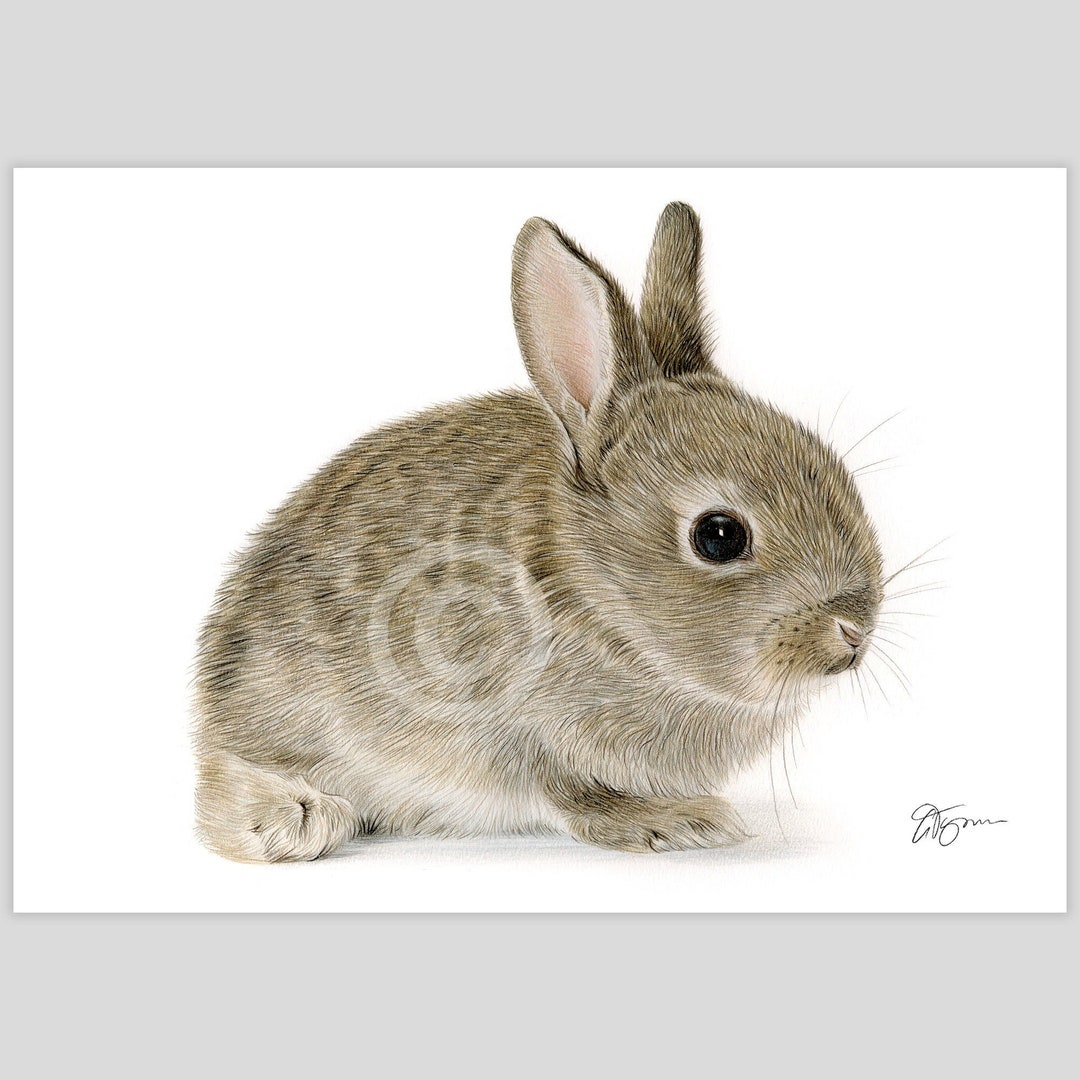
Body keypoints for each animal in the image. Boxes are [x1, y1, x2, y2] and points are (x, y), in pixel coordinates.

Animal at [193, 202, 884, 862]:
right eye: (719, 536)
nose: (853, 629)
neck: (595, 591)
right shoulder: (511, 726)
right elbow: (571, 792)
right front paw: (679, 822)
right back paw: (295, 820)